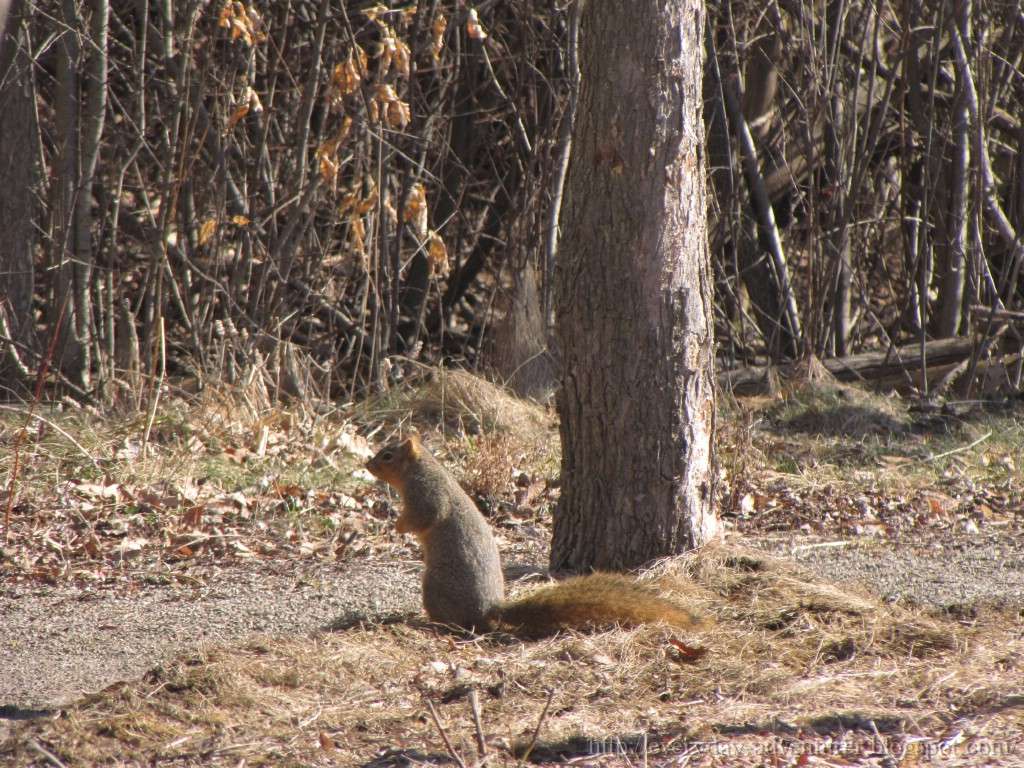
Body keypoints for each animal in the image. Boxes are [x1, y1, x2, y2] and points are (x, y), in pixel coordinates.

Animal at [366, 435, 704, 638]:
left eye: (387, 456)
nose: (367, 463)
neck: (420, 470)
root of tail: (489, 609)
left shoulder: (428, 496)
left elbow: (424, 518)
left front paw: (398, 527)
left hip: (435, 586)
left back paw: (429, 622)